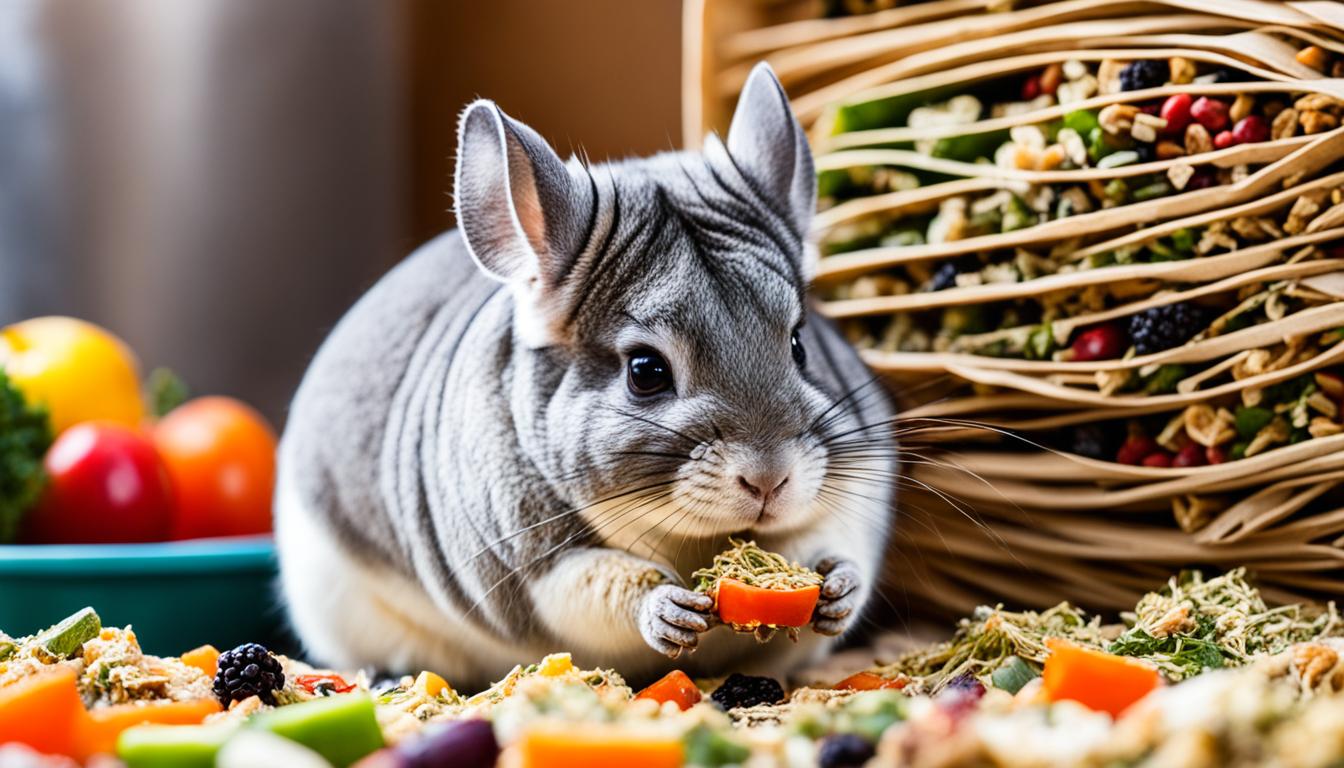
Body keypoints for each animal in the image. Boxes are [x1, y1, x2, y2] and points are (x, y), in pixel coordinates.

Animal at [275, 63, 897, 690]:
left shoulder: (860, 487)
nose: (770, 481)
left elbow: (839, 538)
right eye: (645, 371)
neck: (694, 539)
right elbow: (600, 587)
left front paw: (839, 587)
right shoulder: (530, 559)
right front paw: (666, 608)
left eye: (799, 344)